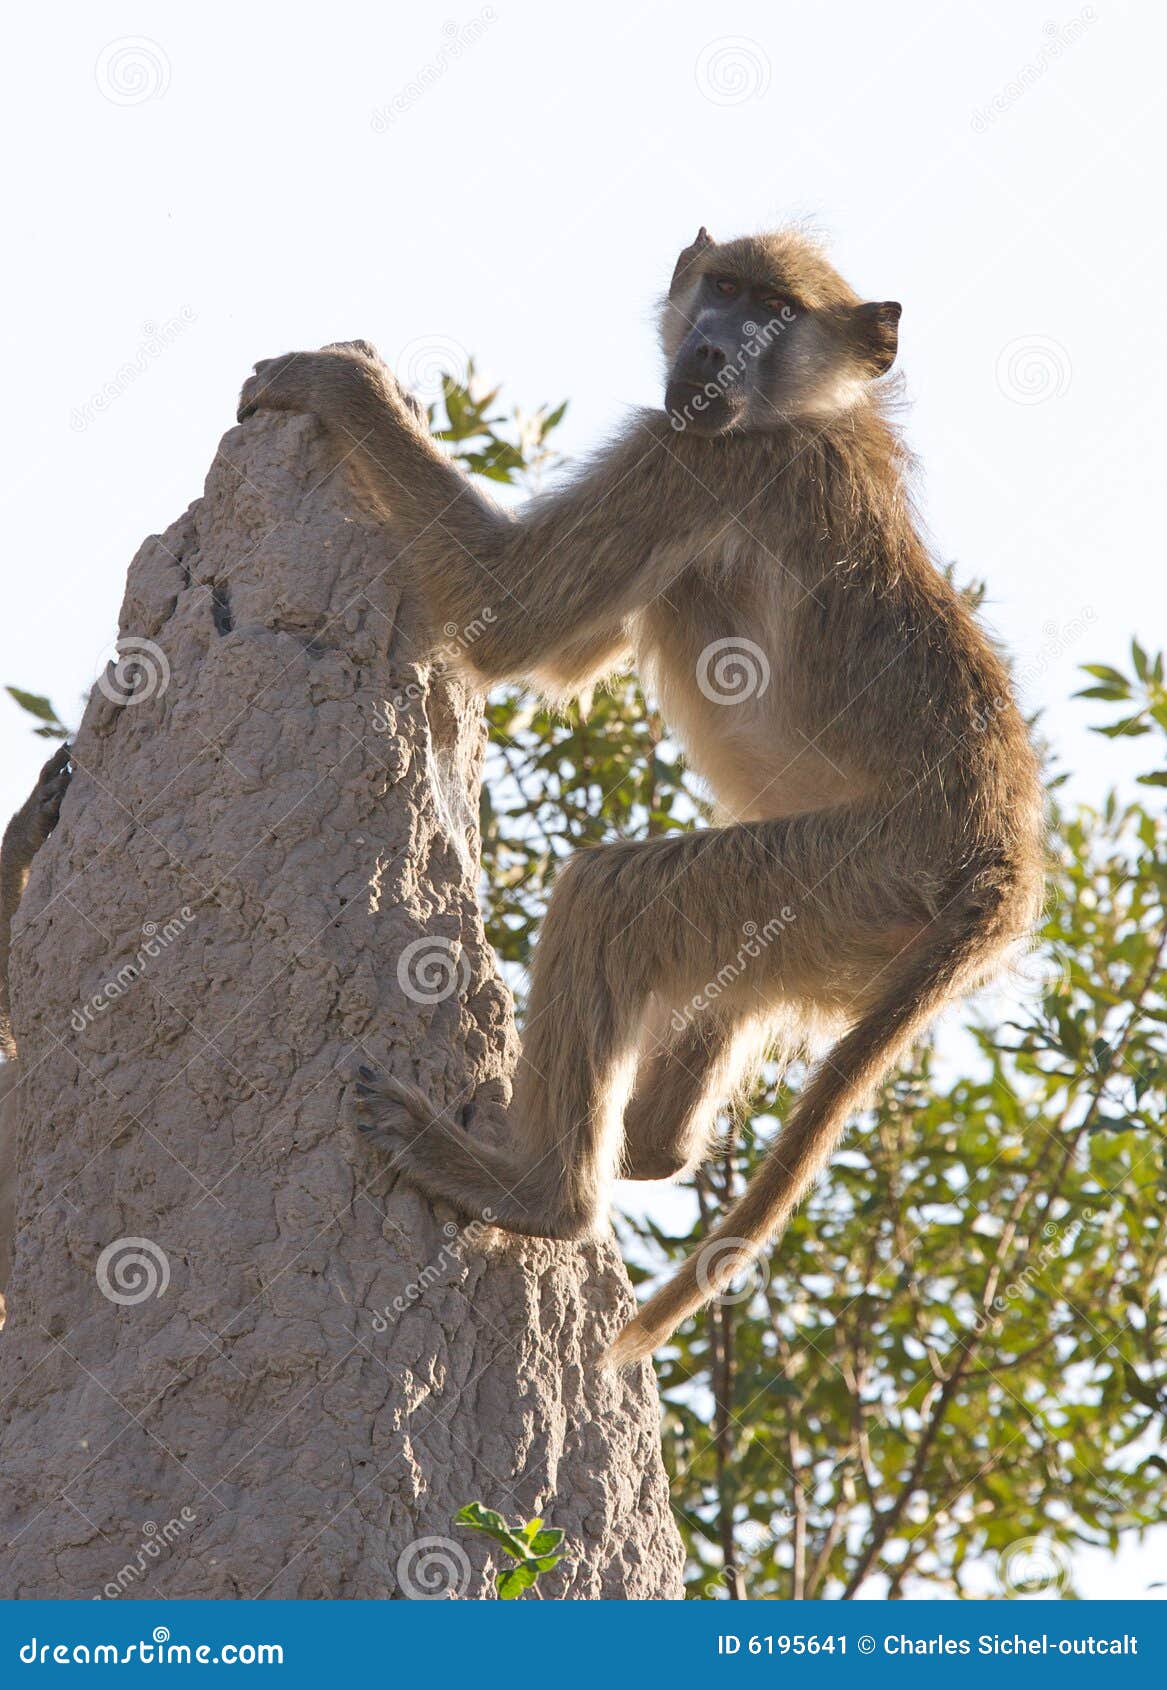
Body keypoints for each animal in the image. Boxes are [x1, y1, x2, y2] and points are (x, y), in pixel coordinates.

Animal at [237, 227, 1045, 1366]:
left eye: (773, 311)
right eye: (723, 287)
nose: (707, 350)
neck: (808, 414)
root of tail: (1003, 864)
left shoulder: (691, 458)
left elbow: (510, 618)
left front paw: (339, 380)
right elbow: (557, 647)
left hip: (858, 872)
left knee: (611, 896)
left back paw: (536, 1194)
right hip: (848, 923)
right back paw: (649, 1143)